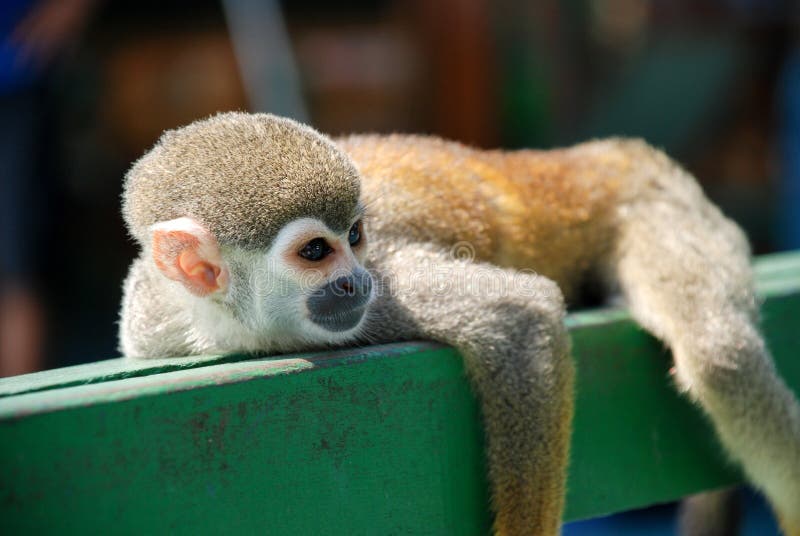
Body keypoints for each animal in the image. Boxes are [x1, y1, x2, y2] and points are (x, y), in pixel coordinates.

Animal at [119, 112, 800, 535]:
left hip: (664, 199)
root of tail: (605, 154)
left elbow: (521, 314)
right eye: (316, 251)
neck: (231, 324)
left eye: (357, 237)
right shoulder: (146, 319)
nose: (356, 281)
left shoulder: (389, 291)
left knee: (719, 353)